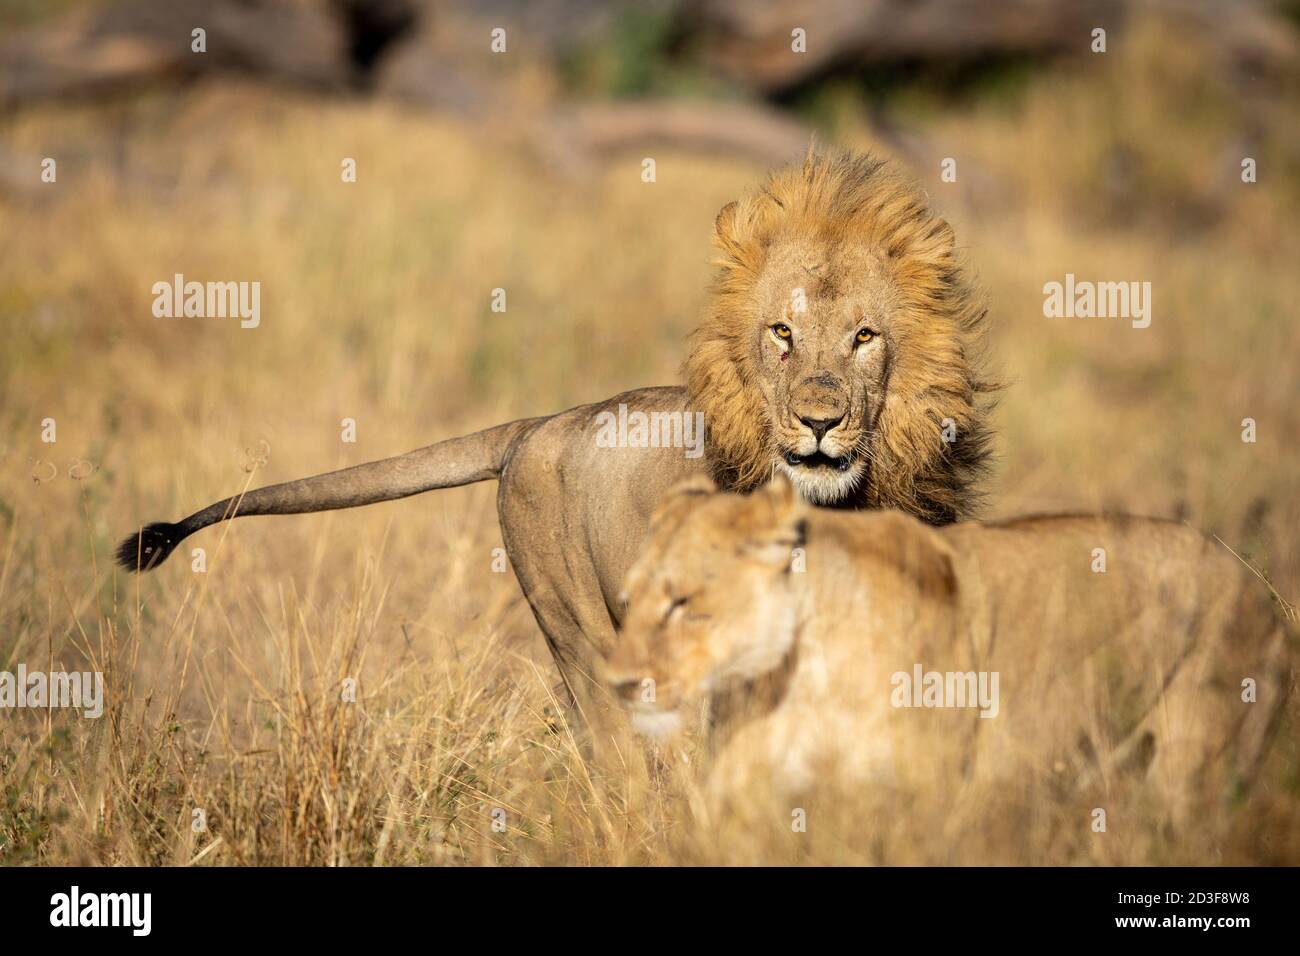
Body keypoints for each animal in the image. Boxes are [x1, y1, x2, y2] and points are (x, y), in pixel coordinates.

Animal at [605, 475, 1292, 849]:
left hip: (1195, 769)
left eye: (682, 602)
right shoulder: (740, 798)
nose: (619, 683)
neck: (801, 673)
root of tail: (1259, 587)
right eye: (629, 600)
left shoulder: (930, 799)